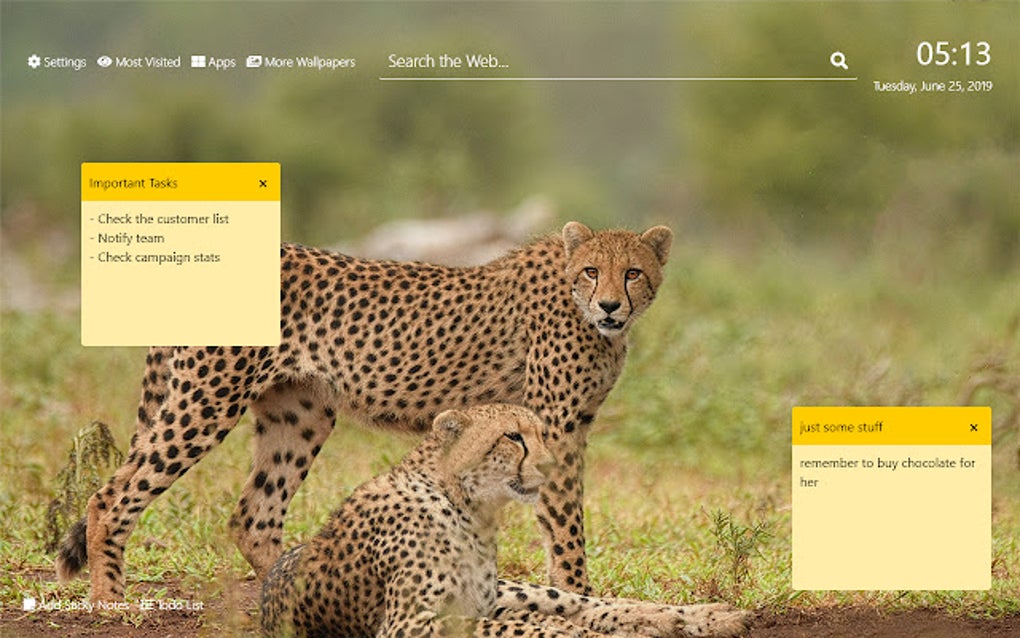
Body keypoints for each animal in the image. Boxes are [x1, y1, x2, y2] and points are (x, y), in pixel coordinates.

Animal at [56, 221, 674, 603]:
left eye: (633, 272)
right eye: (593, 271)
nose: (611, 305)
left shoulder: (569, 427)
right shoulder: (555, 428)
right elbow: (565, 524)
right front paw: (577, 595)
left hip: (301, 413)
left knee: (254, 516)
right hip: (209, 398)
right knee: (111, 497)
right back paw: (110, 602)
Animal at [259, 403, 751, 638]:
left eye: (541, 434)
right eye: (513, 437)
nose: (551, 465)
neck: (470, 509)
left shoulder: (476, 601)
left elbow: (543, 621)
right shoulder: (408, 623)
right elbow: (523, 628)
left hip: (512, 588)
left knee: (587, 602)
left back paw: (710, 617)